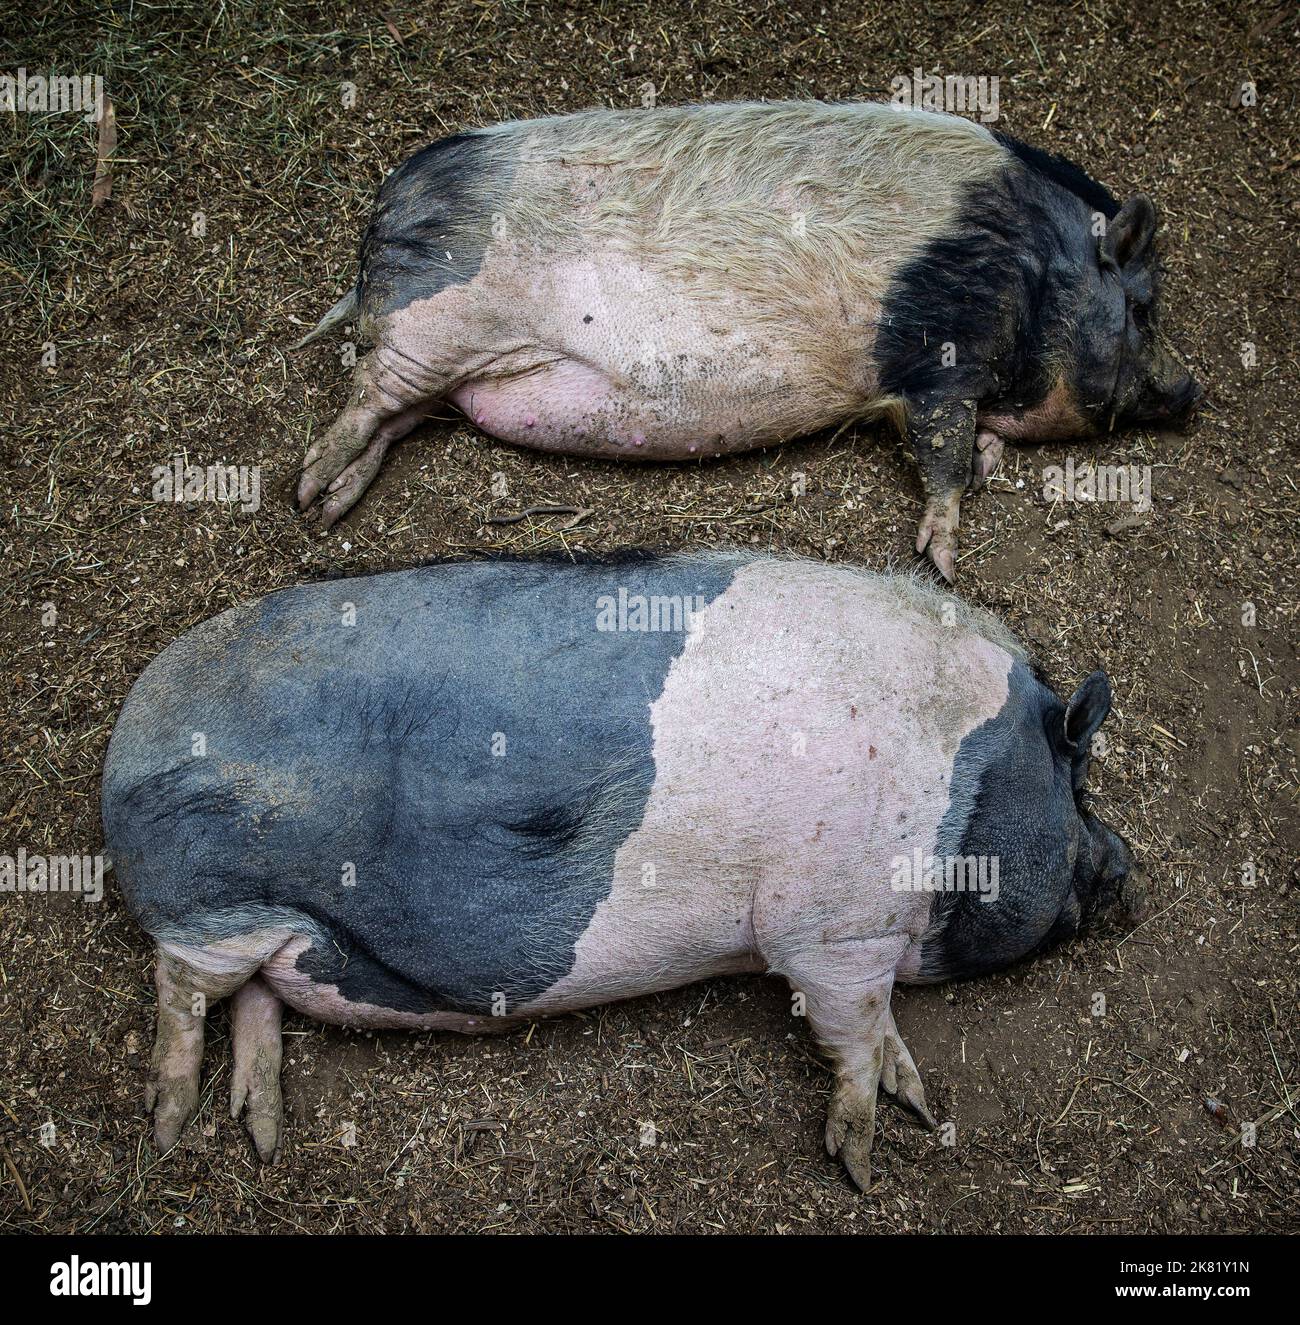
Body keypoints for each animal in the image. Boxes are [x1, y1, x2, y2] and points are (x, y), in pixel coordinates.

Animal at [102, 552, 1132, 1187]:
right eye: (1077, 779)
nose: (1126, 866)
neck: (960, 792)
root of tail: (124, 742)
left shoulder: (844, 936)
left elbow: (877, 1029)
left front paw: (907, 1094)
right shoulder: (829, 929)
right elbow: (850, 1029)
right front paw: (864, 1161)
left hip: (277, 928)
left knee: (260, 1000)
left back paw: (264, 1134)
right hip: (211, 900)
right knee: (181, 986)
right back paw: (165, 1125)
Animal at [293, 100, 1200, 578]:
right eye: (1144, 307)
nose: (1192, 388)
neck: (1031, 268)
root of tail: (378, 230)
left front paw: (989, 464)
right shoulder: (940, 354)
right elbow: (941, 452)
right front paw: (945, 562)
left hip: (454, 364)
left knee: (399, 418)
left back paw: (332, 507)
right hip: (436, 325)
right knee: (368, 395)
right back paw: (305, 493)